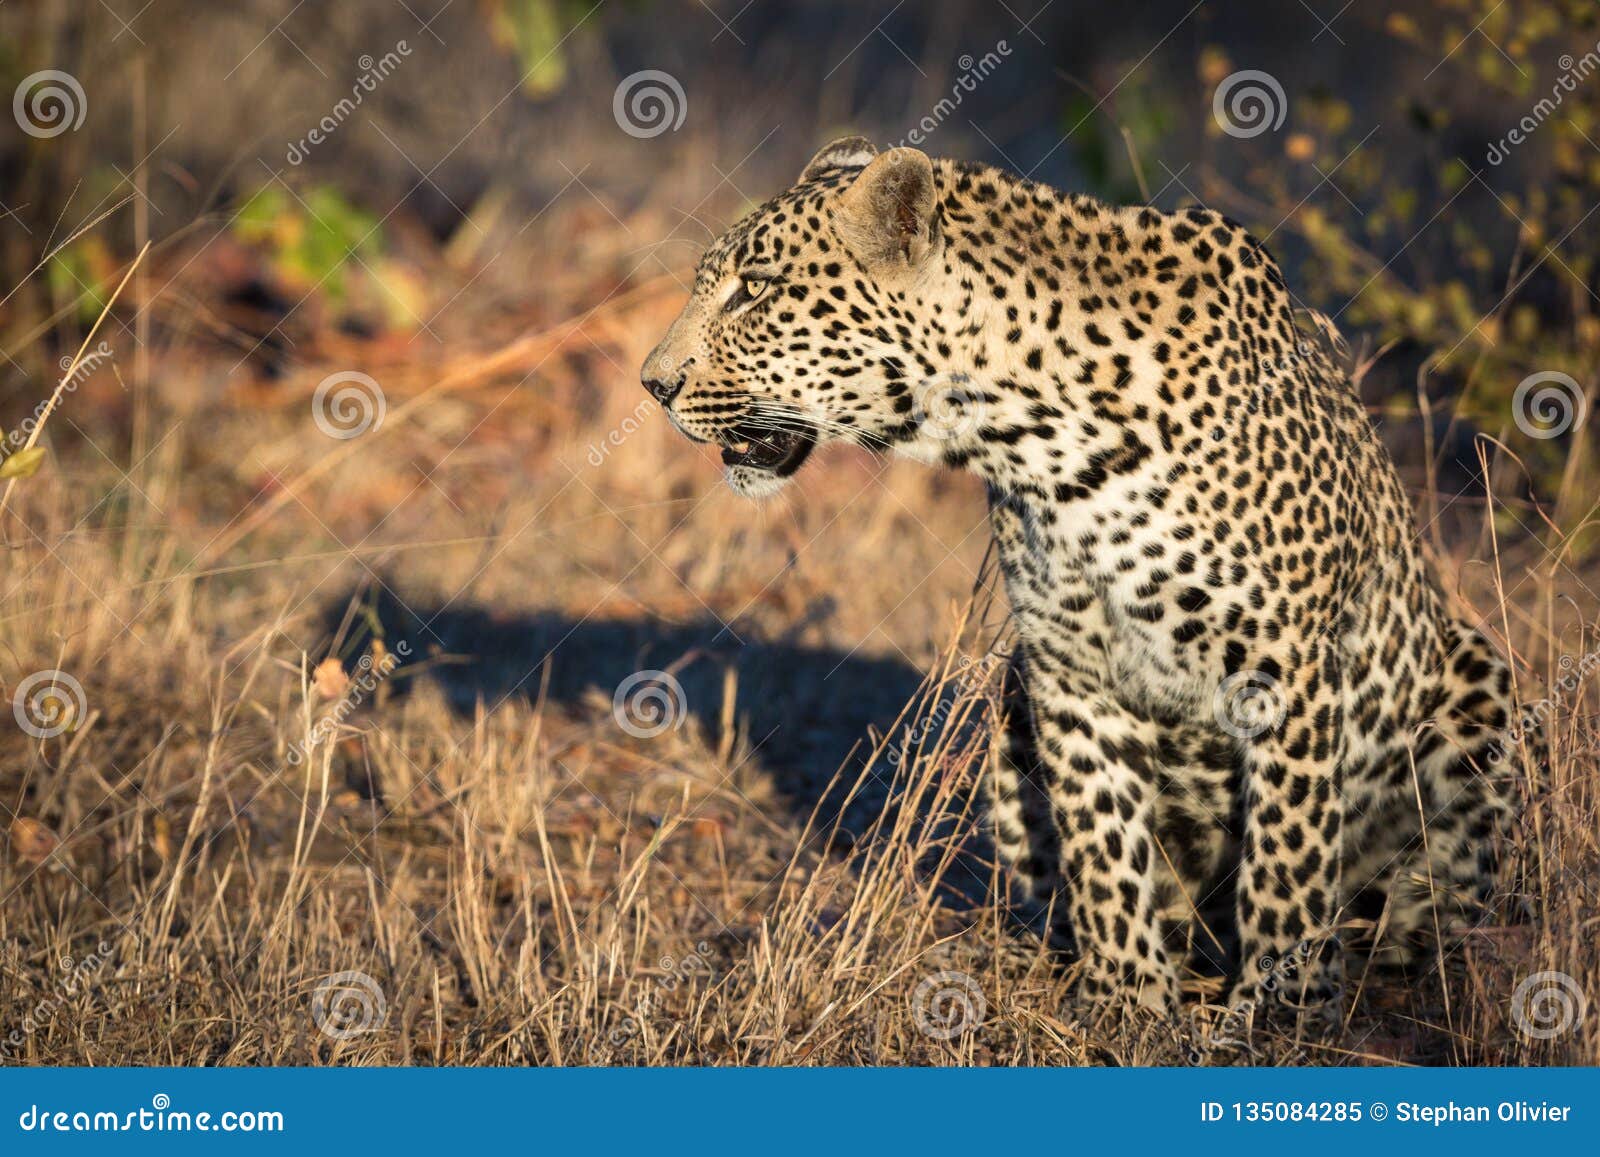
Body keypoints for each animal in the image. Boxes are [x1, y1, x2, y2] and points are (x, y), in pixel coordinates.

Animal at [640, 136, 1512, 1033]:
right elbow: (1102, 846)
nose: (653, 384)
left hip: (1478, 678)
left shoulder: (1289, 668)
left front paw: (1282, 1011)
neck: (1038, 442)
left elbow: (1289, 860)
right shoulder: (1070, 672)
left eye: (755, 289)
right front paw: (1127, 1001)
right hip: (1011, 698)